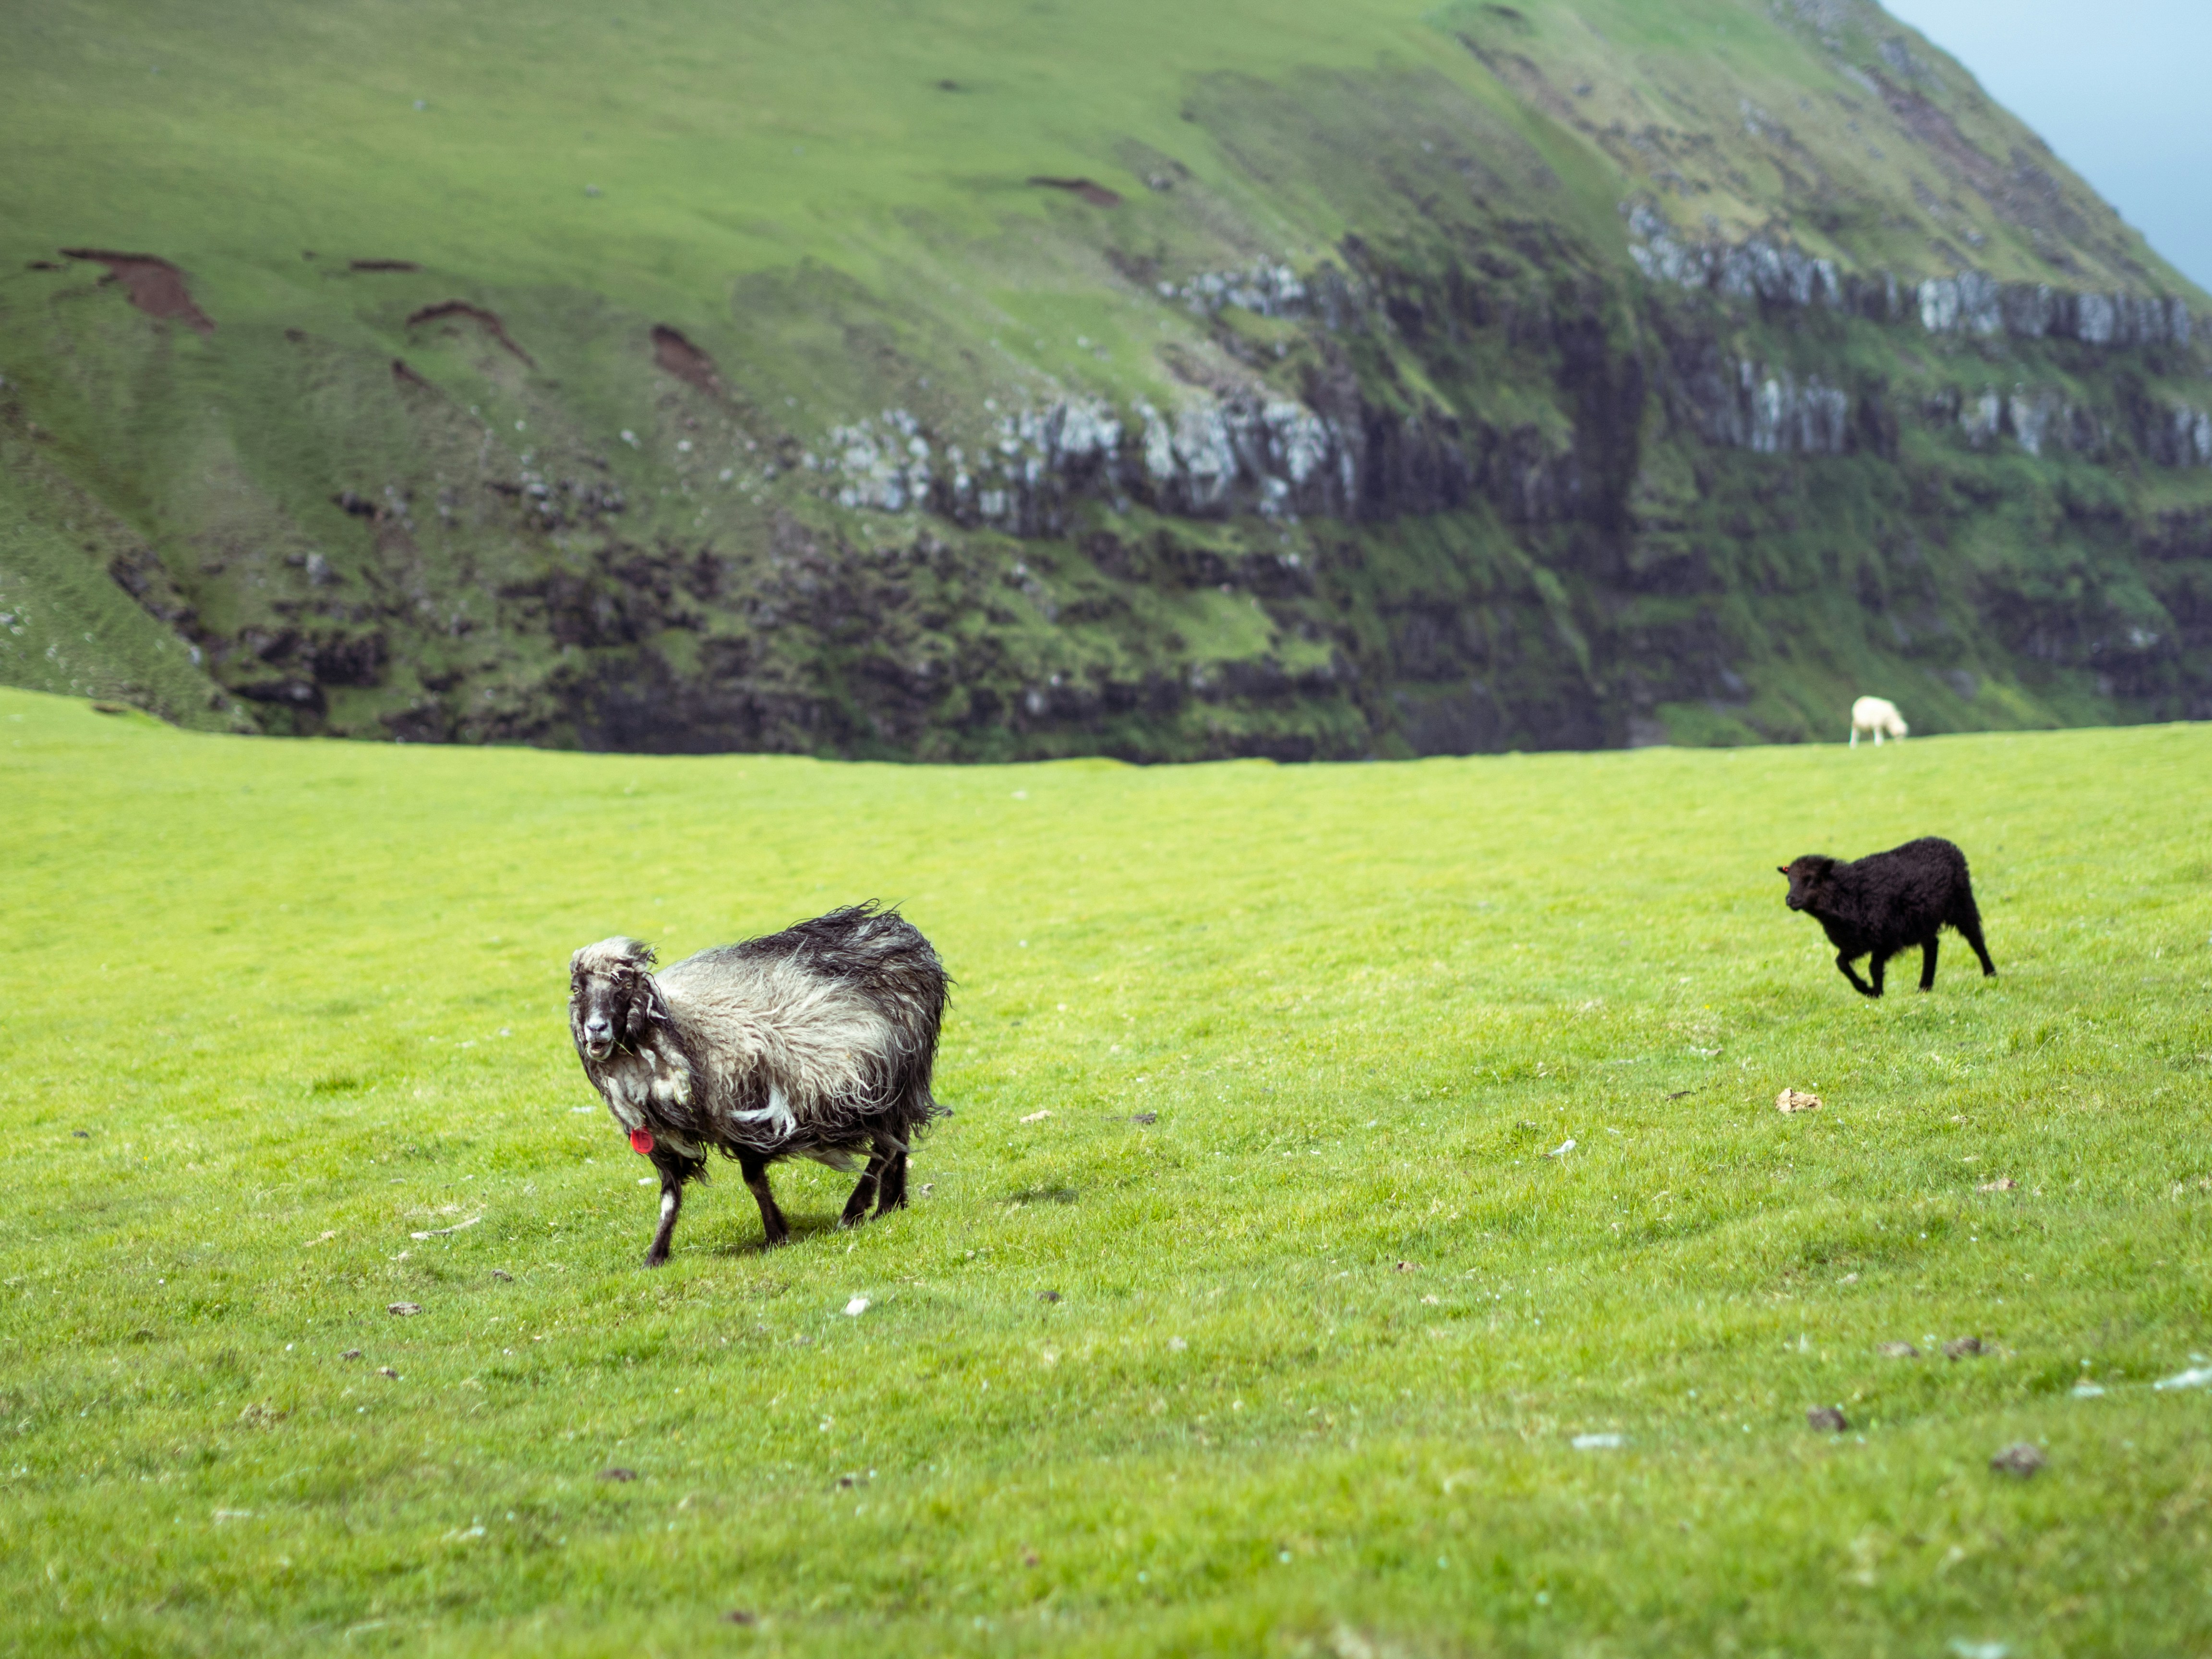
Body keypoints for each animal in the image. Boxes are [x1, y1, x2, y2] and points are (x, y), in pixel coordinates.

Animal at [567, 903, 948, 1265]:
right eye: (577, 989)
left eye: (623, 984)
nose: (596, 1029)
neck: (677, 1026)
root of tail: (905, 935)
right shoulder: (662, 1136)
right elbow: (670, 1197)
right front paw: (655, 1257)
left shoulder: (744, 1107)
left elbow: (753, 1180)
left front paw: (776, 1235)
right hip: (895, 1083)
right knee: (898, 1141)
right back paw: (890, 1206)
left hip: (890, 1075)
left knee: (886, 1146)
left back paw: (854, 1212)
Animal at [1779, 836, 1996, 998]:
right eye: (1789, 880)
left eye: (1811, 880)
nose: (1790, 900)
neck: (1848, 893)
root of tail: (1943, 842)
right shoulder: (1855, 944)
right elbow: (1841, 964)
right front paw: (1865, 989)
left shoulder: (1888, 939)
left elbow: (1874, 967)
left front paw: (1876, 993)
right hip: (1922, 920)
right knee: (1932, 946)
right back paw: (1924, 988)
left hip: (1962, 904)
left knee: (1976, 939)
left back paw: (1990, 974)